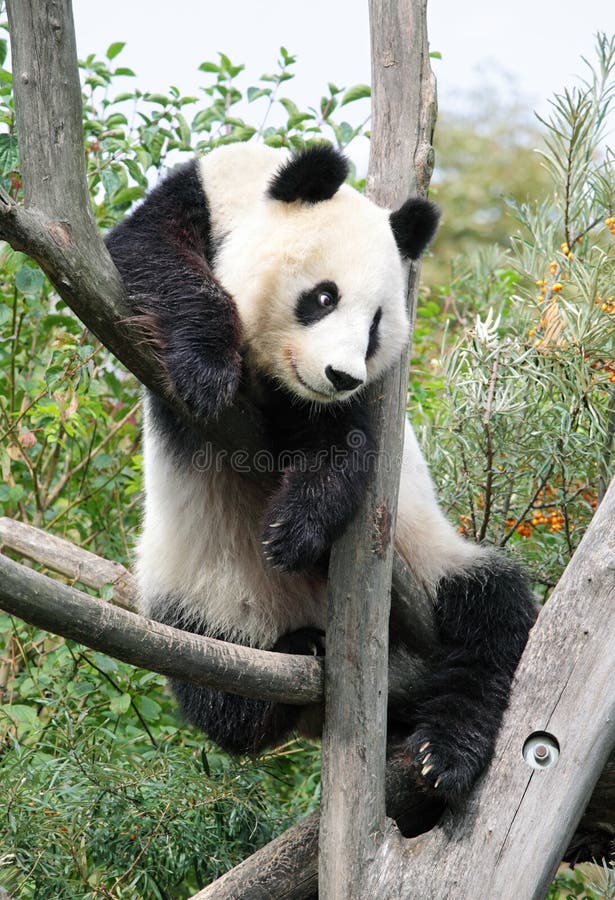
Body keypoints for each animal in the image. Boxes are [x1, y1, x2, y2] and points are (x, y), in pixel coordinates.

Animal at [106, 142, 536, 833]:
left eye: (377, 326)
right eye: (324, 296)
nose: (339, 374)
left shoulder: (357, 404)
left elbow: (349, 444)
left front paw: (295, 529)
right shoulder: (193, 200)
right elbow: (151, 257)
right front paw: (206, 369)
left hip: (432, 565)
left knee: (492, 618)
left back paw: (443, 754)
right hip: (200, 590)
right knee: (214, 683)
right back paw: (294, 655)